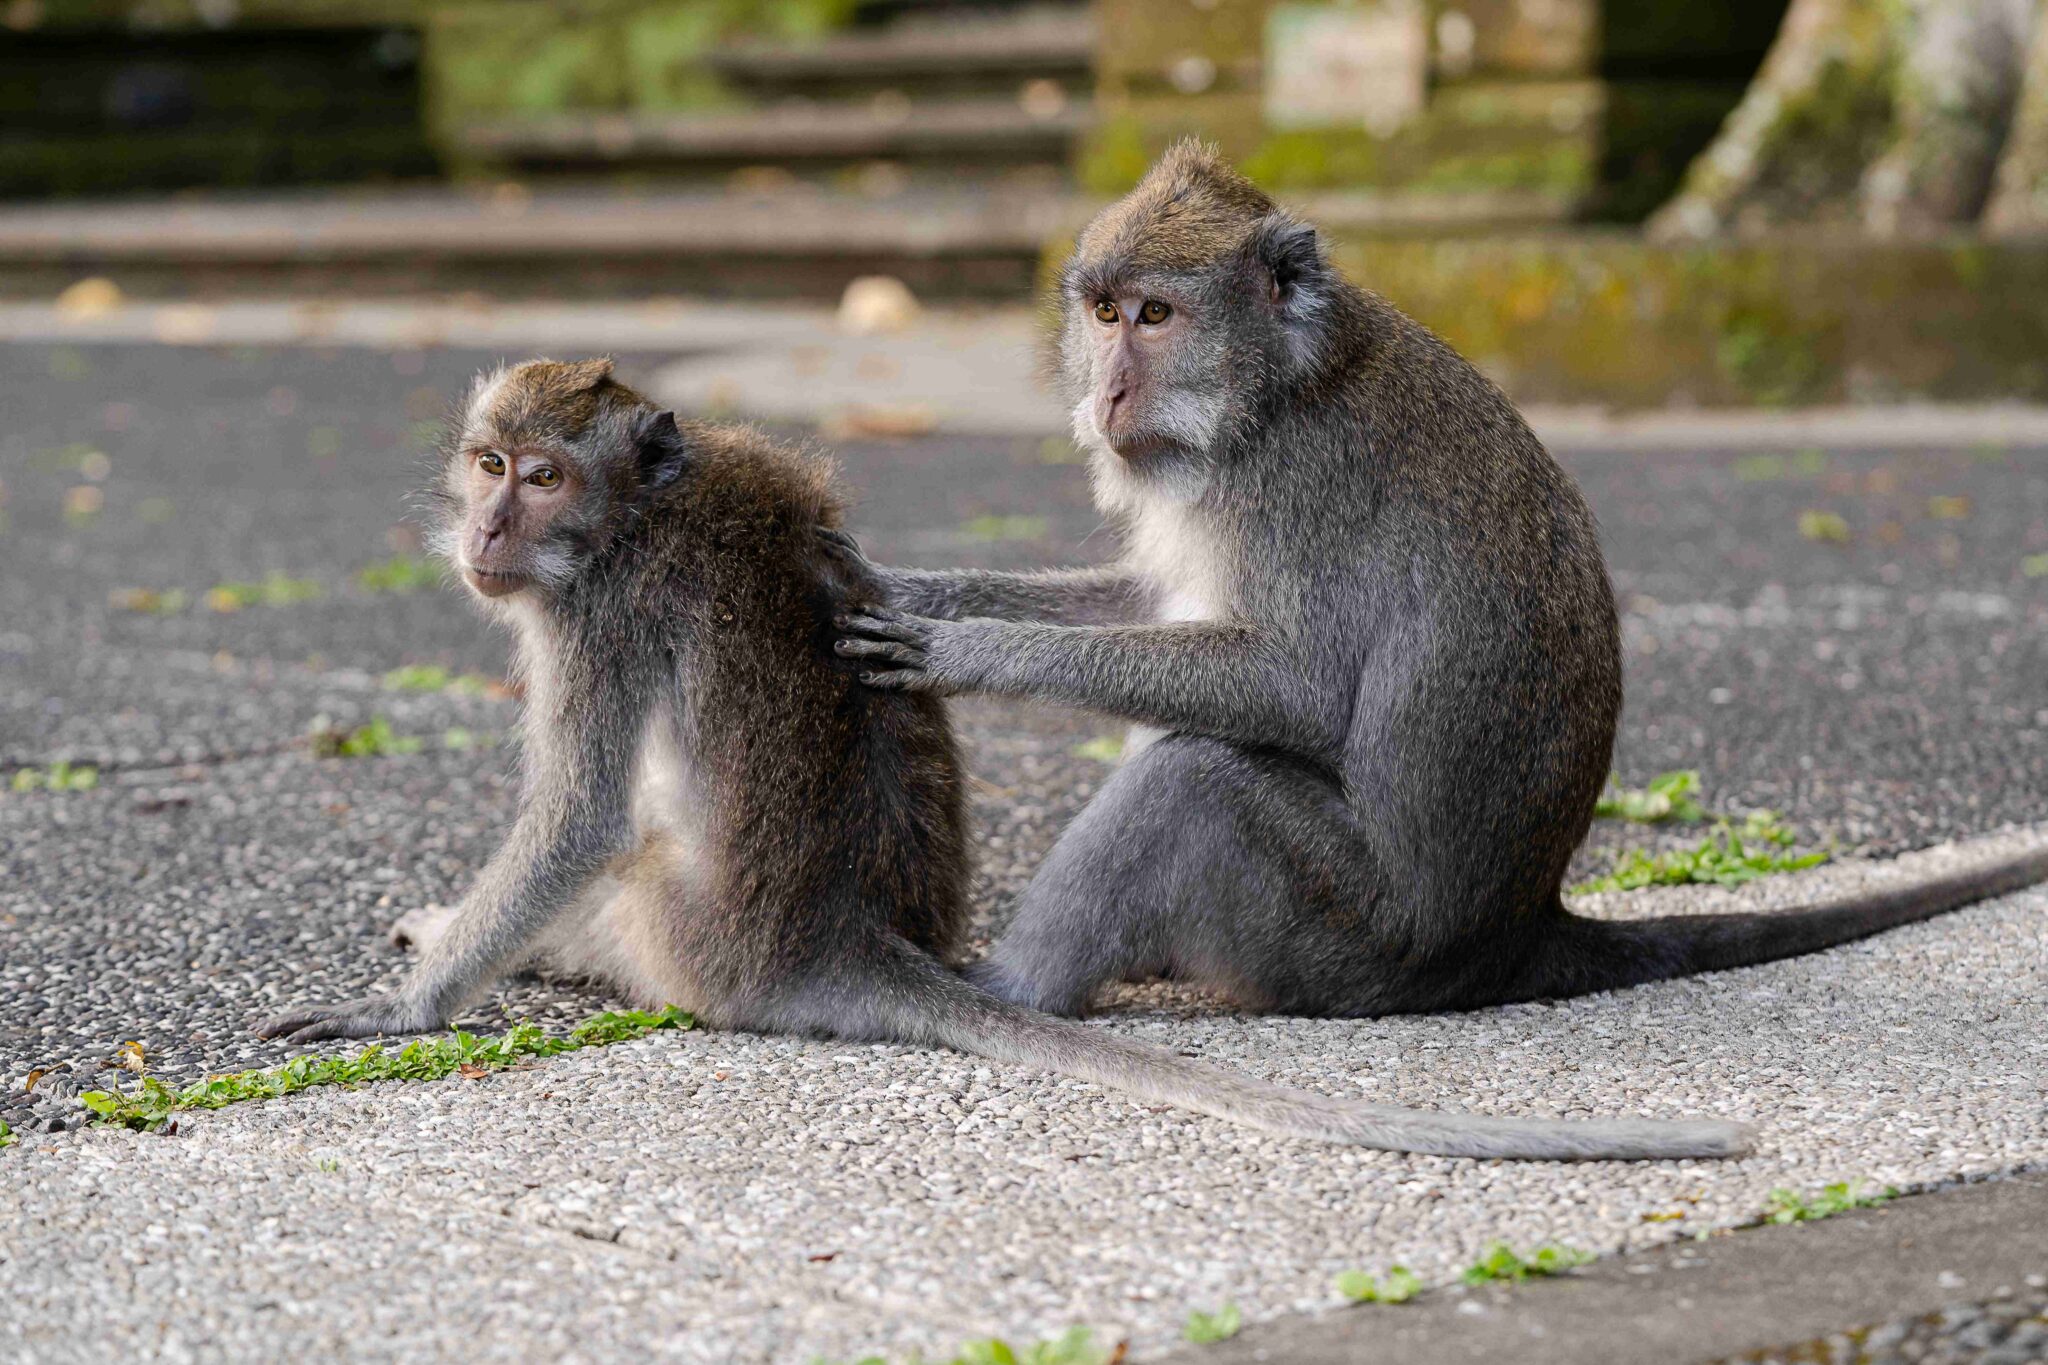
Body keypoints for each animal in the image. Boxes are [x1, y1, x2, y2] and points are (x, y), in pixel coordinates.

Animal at [254, 356, 1751, 1162]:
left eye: (543, 478)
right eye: (486, 462)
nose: (486, 531)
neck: (644, 510)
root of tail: (832, 941)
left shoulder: (596, 618)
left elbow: (573, 816)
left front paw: (403, 1005)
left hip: (672, 936)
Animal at [832, 140, 2048, 1024]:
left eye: (1156, 316)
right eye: (1100, 314)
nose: (1110, 395)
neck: (1273, 389)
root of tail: (1516, 932)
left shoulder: (1295, 488)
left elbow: (1294, 688)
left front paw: (973, 652)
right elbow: (1160, 604)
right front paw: (907, 586)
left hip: (1344, 935)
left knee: (1197, 777)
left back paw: (1011, 989)